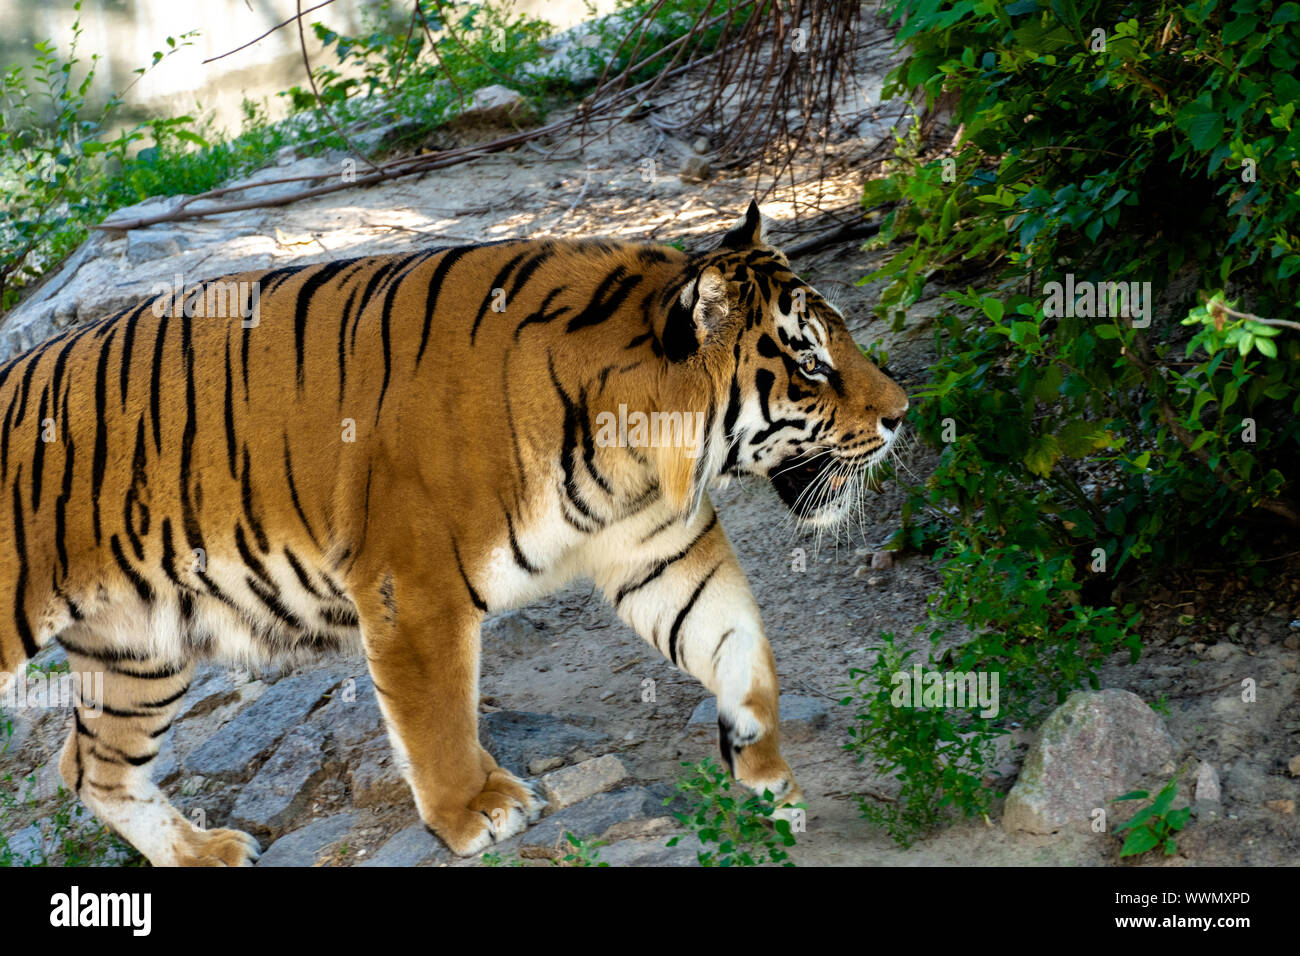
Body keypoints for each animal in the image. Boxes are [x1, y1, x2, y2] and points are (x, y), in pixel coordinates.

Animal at [0, 201, 907, 865]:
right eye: (812, 364)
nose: (902, 416)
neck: (639, 449)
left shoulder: (662, 551)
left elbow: (740, 646)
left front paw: (765, 772)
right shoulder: (414, 586)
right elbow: (436, 716)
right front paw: (477, 812)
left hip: (138, 647)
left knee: (92, 767)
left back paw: (200, 853)